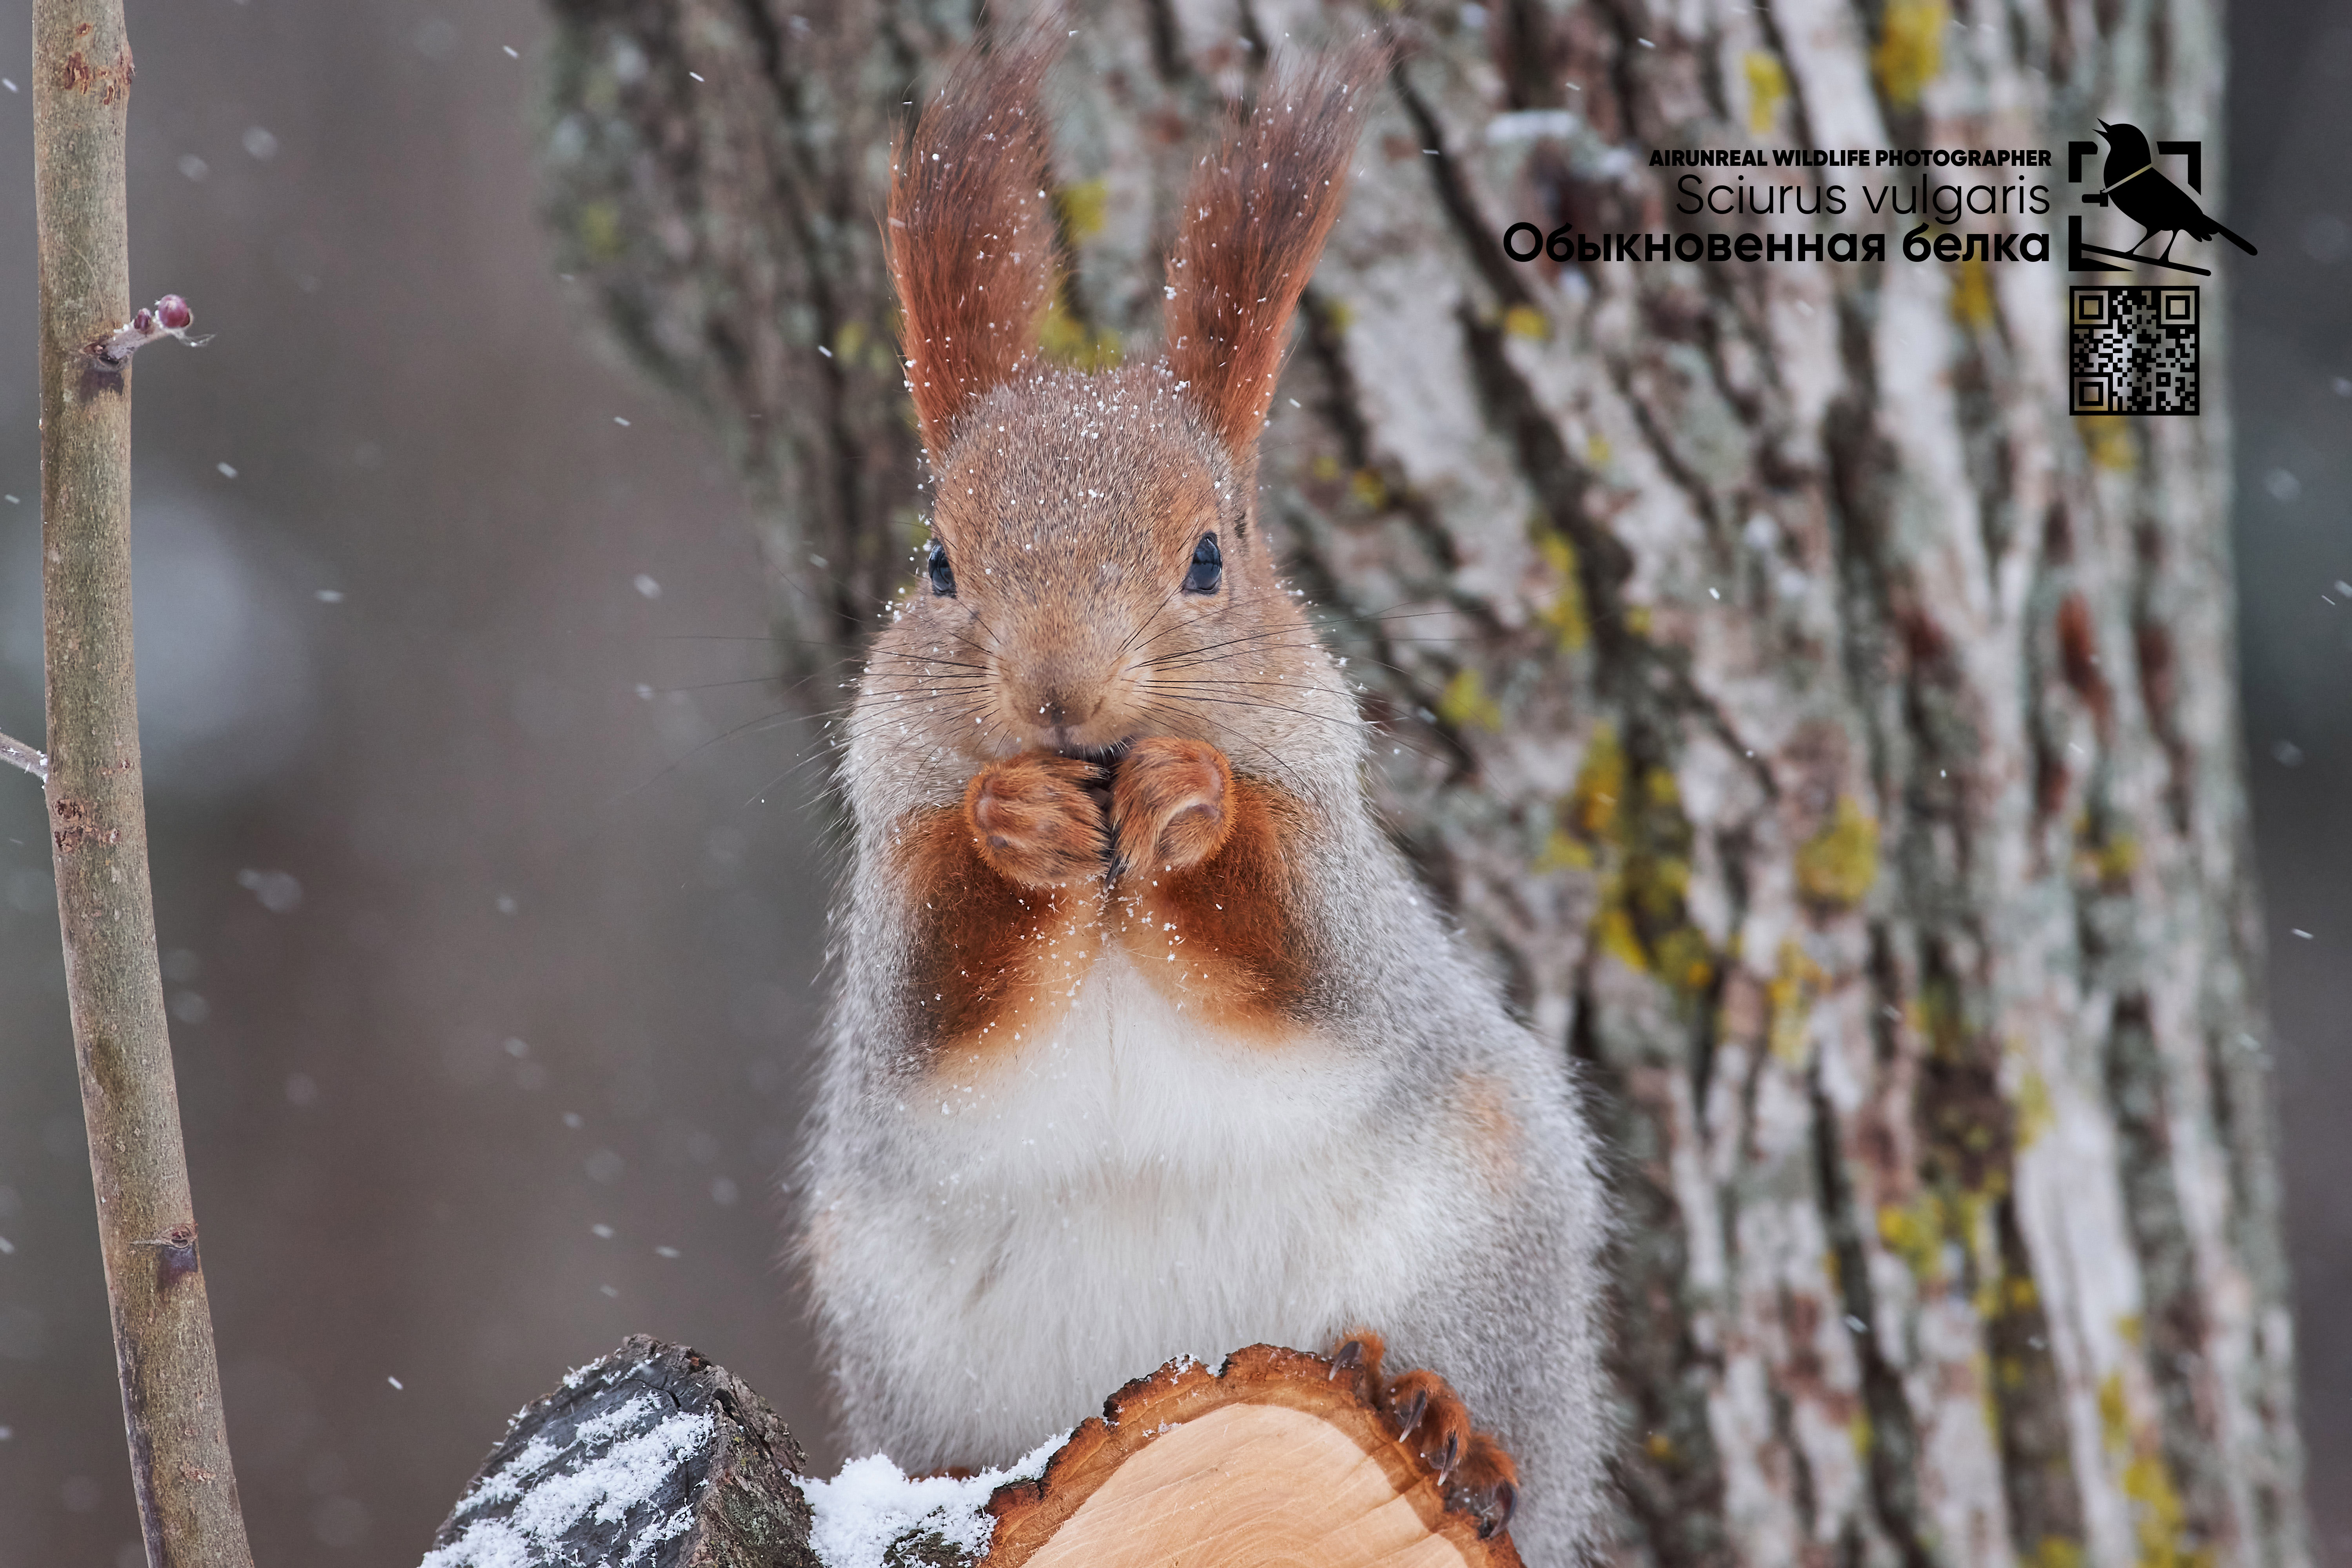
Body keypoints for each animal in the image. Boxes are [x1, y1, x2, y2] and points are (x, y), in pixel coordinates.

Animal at [800, 31, 1609, 1561]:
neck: (1109, 884)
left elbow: (1295, 939)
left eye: (1210, 559)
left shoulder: (1346, 883)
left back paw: (1442, 1416)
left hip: (1495, 1258)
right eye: (936, 564)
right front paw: (1014, 825)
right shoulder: (888, 908)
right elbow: (939, 992)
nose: (1060, 692)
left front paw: (1193, 801)